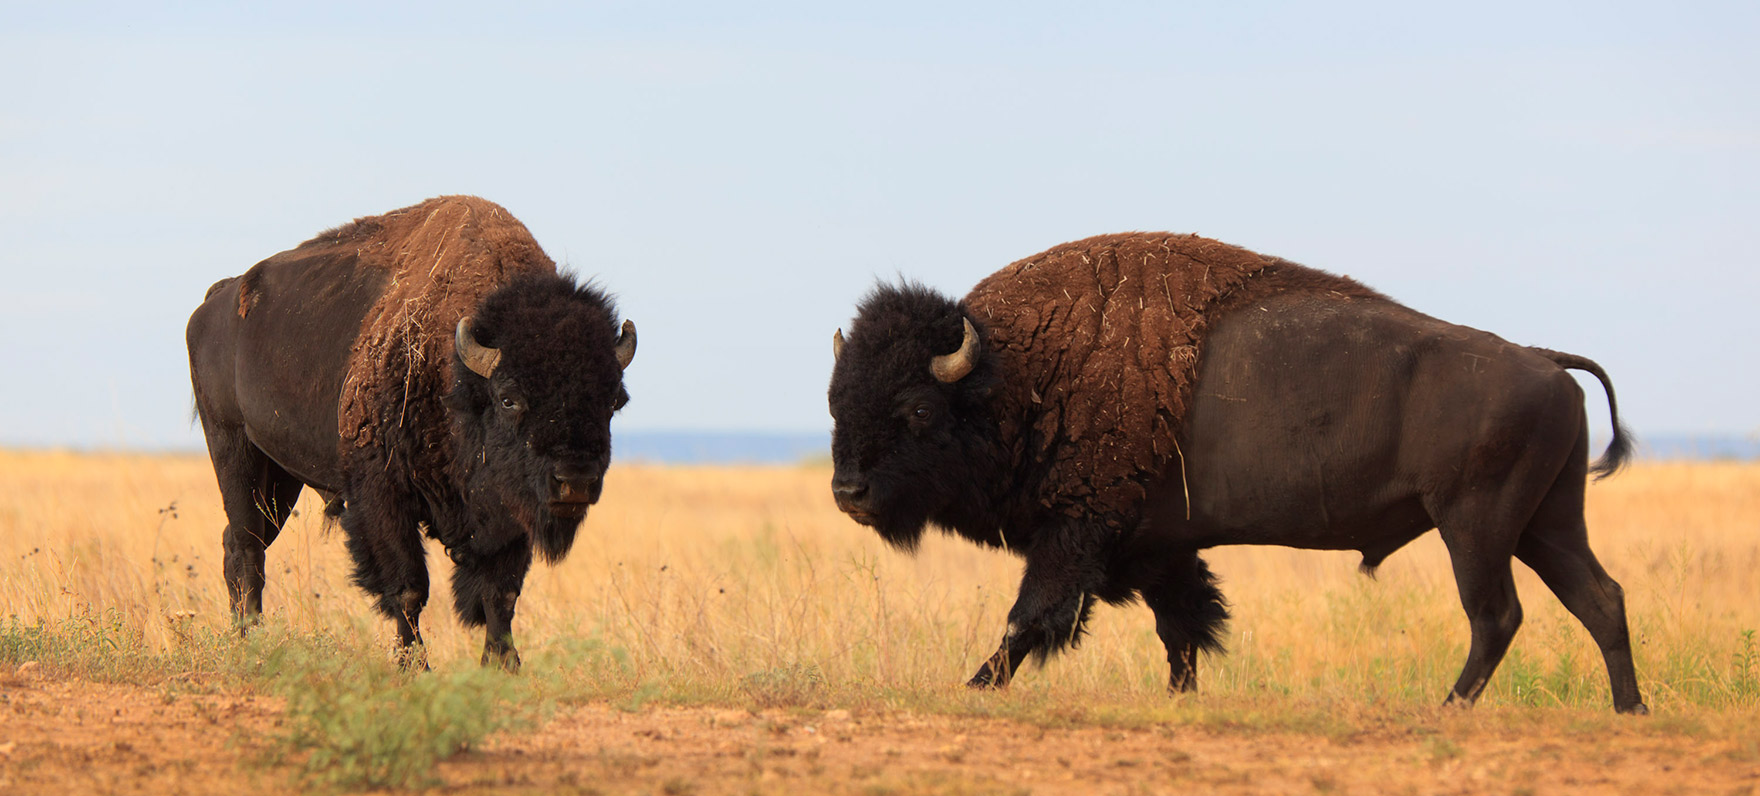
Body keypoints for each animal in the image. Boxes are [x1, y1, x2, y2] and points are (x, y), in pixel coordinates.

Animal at [187, 196, 635, 669]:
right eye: (509, 398)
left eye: (613, 401)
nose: (575, 481)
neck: (455, 372)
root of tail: (218, 298)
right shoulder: (383, 496)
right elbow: (408, 588)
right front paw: (413, 668)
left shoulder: (507, 514)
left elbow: (501, 593)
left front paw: (502, 666)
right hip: (233, 448)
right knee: (248, 547)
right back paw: (249, 639)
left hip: (280, 479)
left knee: (237, 542)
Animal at [828, 232, 1645, 713]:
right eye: (836, 399)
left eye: (916, 410)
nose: (849, 492)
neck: (1018, 373)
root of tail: (1544, 361)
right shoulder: (1157, 549)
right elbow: (1182, 628)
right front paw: (1180, 698)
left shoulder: (1076, 535)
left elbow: (1031, 616)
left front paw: (974, 685)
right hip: (1546, 523)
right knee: (1599, 598)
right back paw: (1628, 708)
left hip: (1474, 526)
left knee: (1496, 614)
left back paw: (1449, 708)